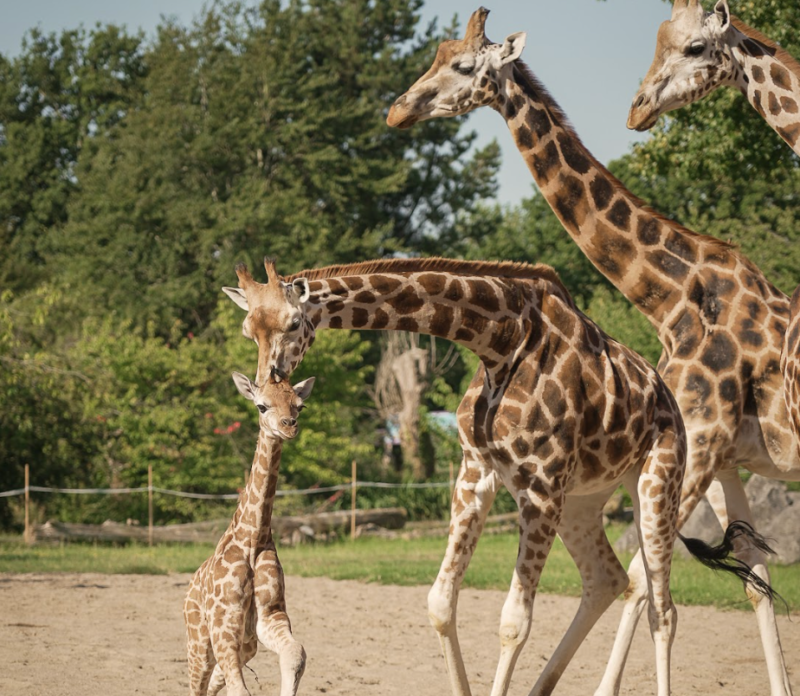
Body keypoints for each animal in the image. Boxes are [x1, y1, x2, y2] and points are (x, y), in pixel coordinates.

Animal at [183, 370, 315, 696]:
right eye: (261, 406)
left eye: (300, 406)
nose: (288, 426)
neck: (253, 537)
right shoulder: (223, 625)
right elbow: (240, 689)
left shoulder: (269, 616)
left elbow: (296, 654)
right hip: (199, 640)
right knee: (197, 684)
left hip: (247, 645)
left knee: (214, 682)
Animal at [223, 256, 769, 696]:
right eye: (249, 329)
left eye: (295, 321)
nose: (271, 385)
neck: (500, 342)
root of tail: (668, 398)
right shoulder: (476, 471)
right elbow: (440, 603)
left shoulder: (541, 483)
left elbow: (514, 623)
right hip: (582, 502)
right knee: (607, 578)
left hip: (659, 480)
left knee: (662, 609)